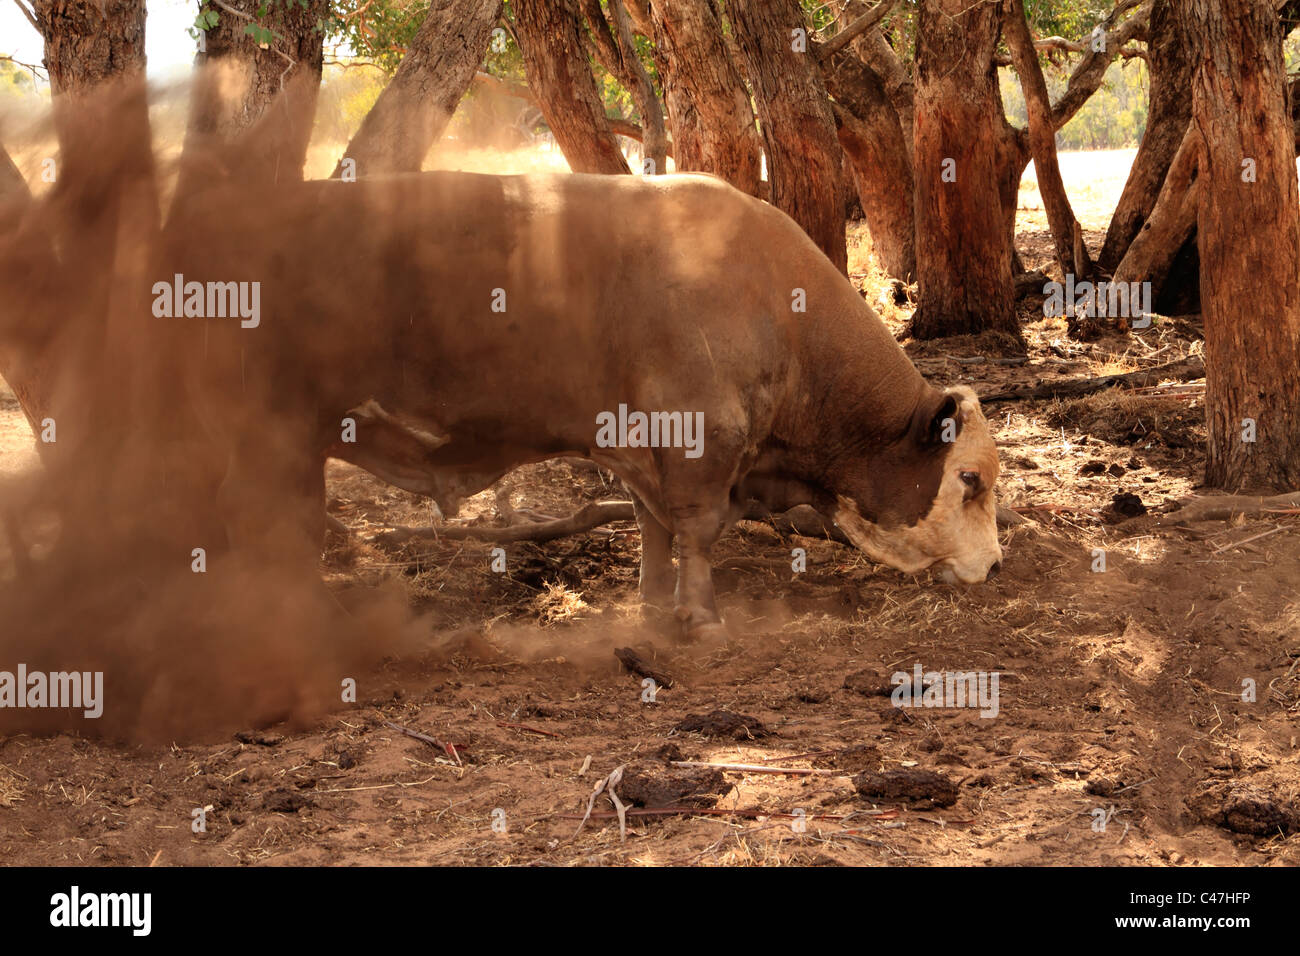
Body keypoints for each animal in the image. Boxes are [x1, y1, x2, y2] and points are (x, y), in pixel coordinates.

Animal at [163, 171, 1002, 641]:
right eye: (970, 480)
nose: (996, 568)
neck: (776, 305)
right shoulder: (699, 440)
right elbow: (697, 529)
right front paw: (701, 618)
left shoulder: (640, 446)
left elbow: (656, 527)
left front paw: (656, 605)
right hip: (265, 429)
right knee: (258, 515)